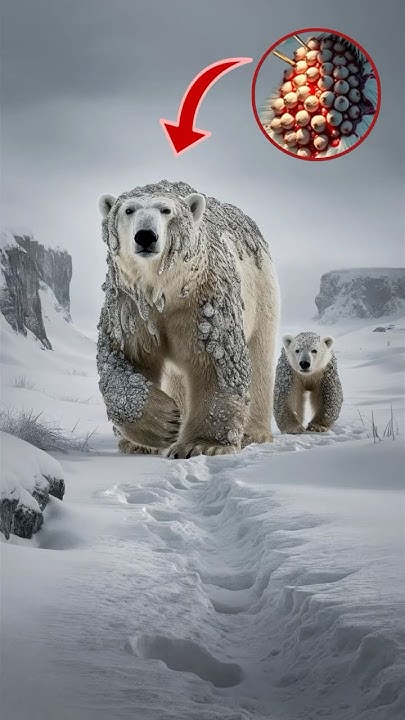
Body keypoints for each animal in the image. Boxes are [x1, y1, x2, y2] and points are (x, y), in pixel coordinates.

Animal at [96, 180, 280, 458]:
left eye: (166, 210)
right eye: (129, 210)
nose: (146, 236)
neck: (164, 290)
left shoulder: (206, 302)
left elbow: (217, 364)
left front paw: (201, 445)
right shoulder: (130, 306)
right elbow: (123, 358)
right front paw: (164, 424)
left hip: (262, 293)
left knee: (259, 357)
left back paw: (254, 434)